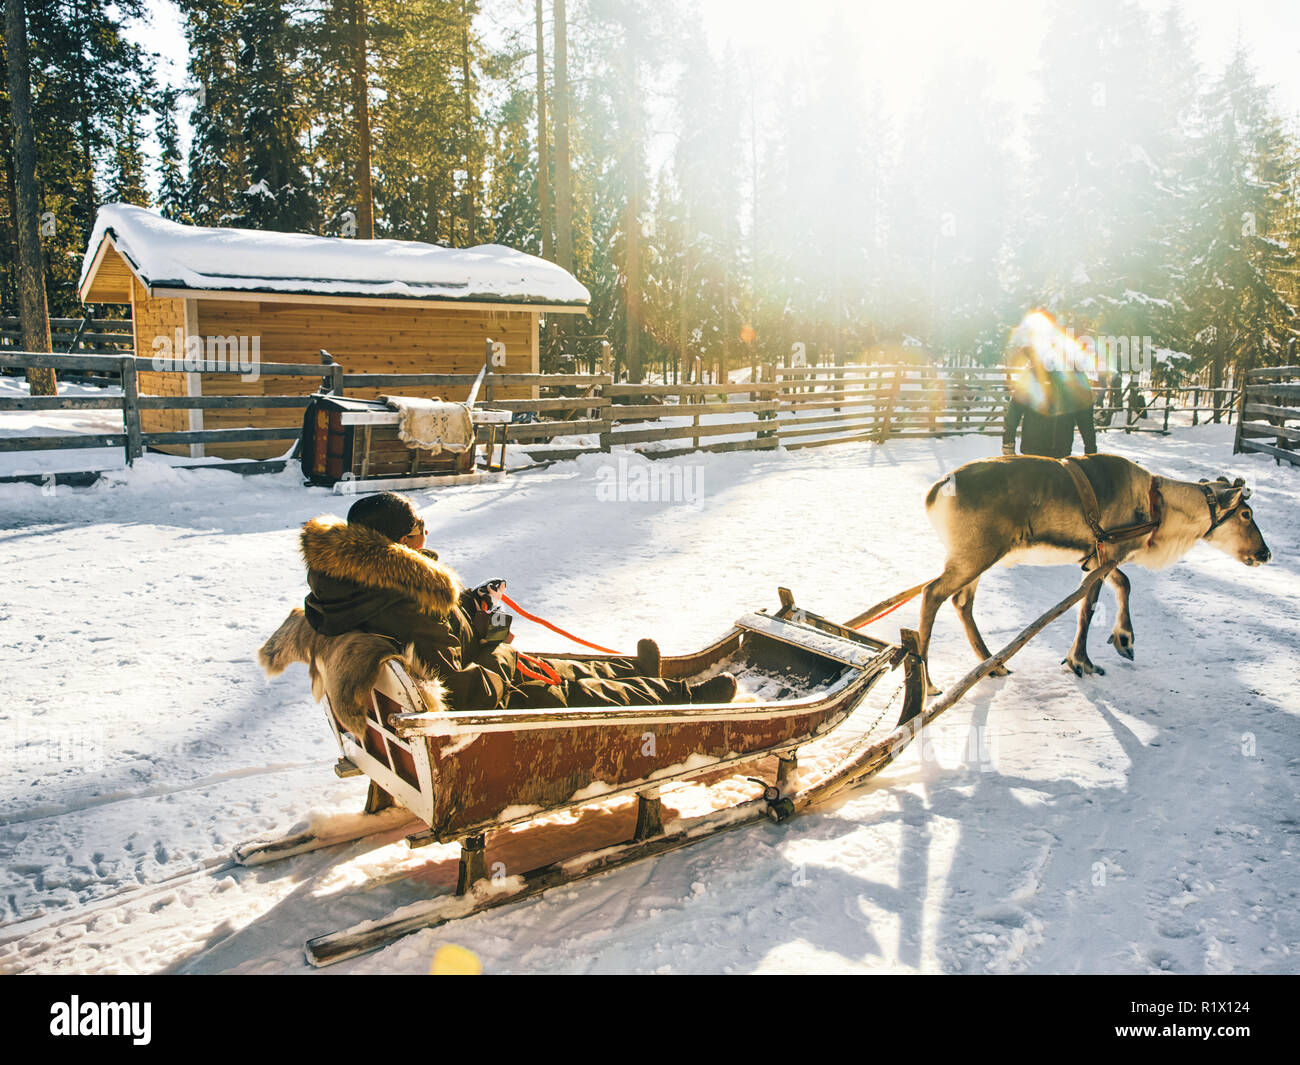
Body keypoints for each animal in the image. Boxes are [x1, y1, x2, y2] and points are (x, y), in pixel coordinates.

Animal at [917, 453, 1271, 689]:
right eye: (1246, 514)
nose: (1265, 553)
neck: (1160, 509)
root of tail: (934, 492)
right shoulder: (1109, 555)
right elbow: (1088, 607)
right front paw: (1082, 661)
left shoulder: (1100, 557)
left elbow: (1123, 584)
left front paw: (1124, 639)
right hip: (976, 555)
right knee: (932, 593)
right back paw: (928, 680)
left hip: (978, 558)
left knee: (961, 602)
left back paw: (992, 665)